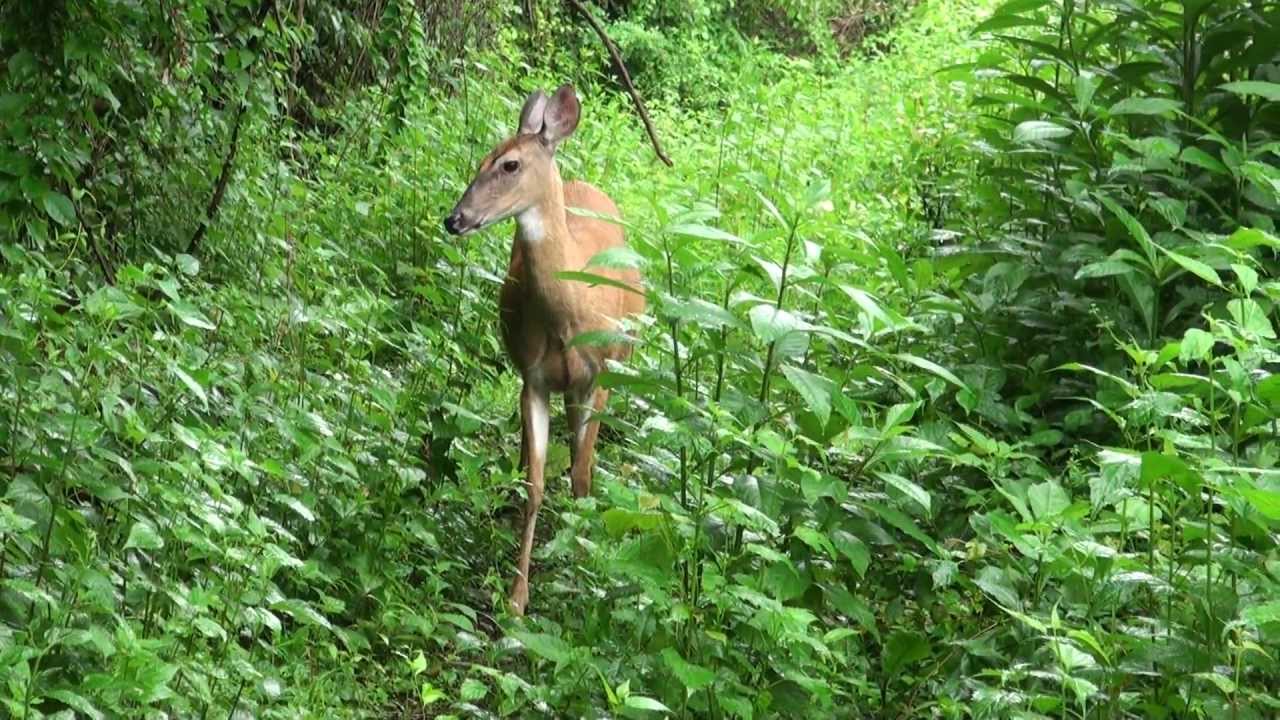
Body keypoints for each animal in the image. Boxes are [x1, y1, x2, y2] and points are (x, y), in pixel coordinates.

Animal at [443, 84, 645, 615]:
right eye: (481, 158)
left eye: (509, 164)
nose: (455, 219)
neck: (570, 314)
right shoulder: (533, 379)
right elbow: (535, 486)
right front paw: (517, 597)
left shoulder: (597, 378)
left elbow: (581, 477)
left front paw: (582, 570)